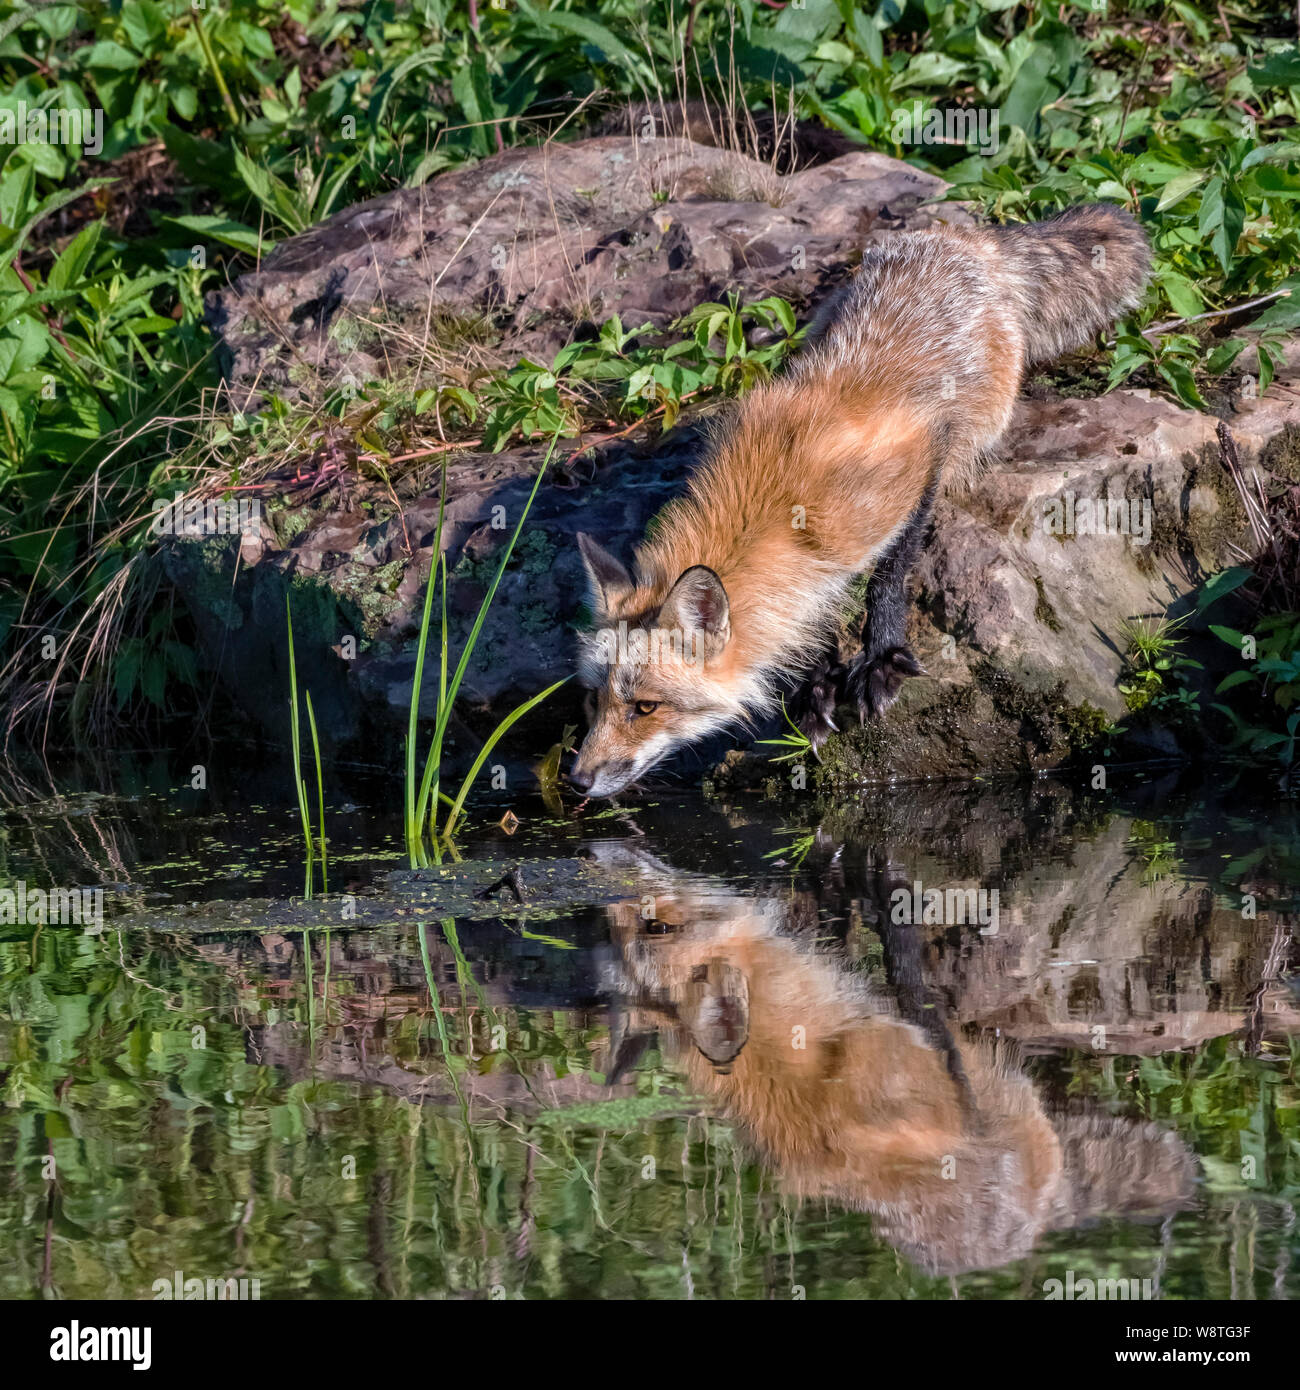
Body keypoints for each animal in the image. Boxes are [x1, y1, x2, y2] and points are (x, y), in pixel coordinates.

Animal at [570, 204, 1151, 798]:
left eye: (646, 707)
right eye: (593, 699)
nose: (577, 780)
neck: (772, 501)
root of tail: (964, 239)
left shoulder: (917, 465)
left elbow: (888, 573)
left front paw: (880, 659)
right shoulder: (811, 566)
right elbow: (819, 611)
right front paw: (814, 687)